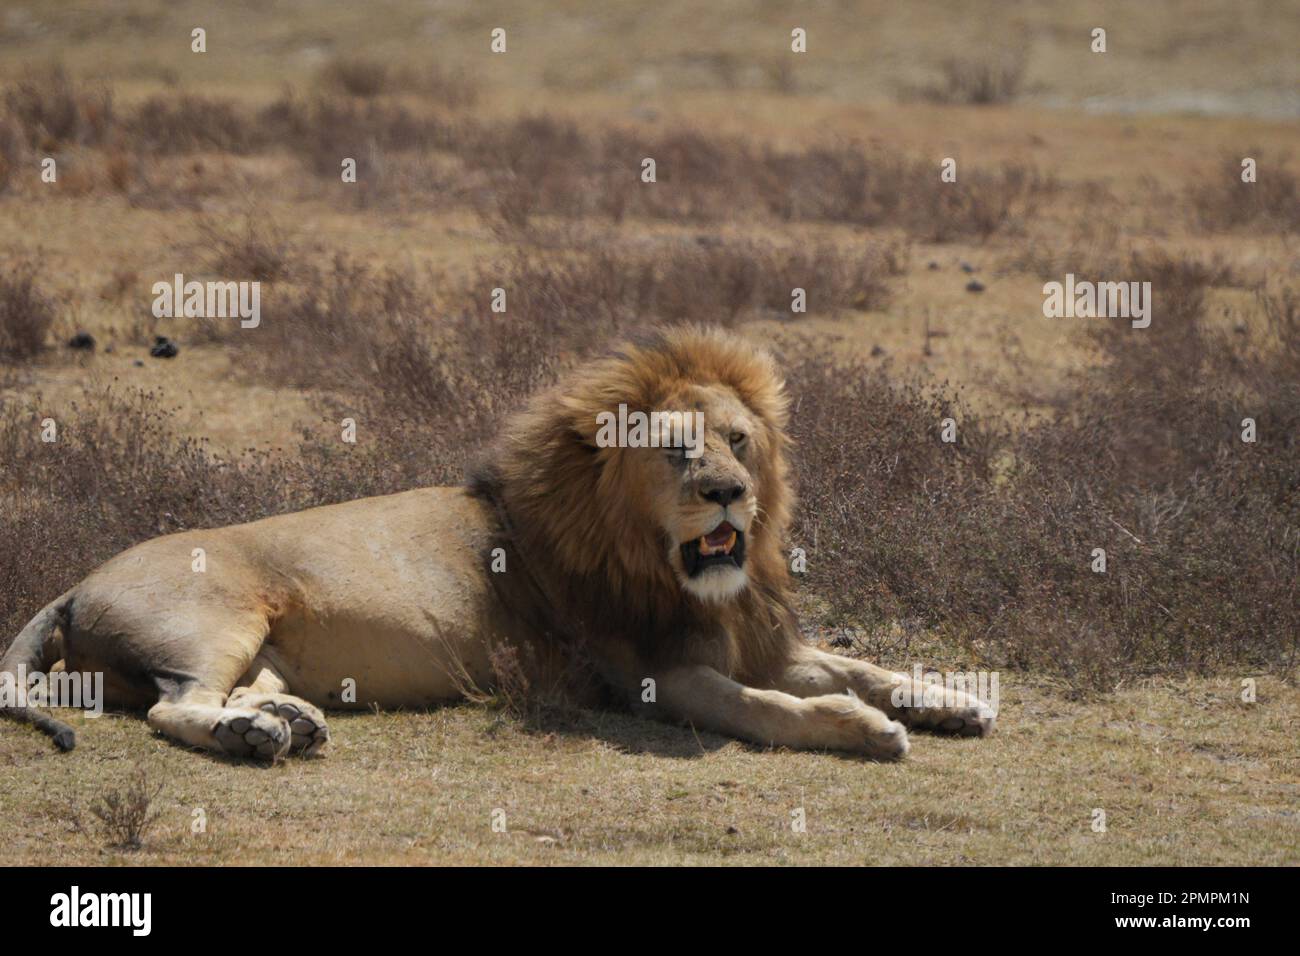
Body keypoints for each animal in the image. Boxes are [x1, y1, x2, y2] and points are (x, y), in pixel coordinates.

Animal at [1, 326, 994, 760]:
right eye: (677, 452)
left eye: (740, 441)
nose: (729, 494)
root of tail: (74, 583)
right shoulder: (653, 676)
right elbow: (773, 708)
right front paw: (867, 730)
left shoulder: (753, 637)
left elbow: (858, 666)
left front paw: (949, 699)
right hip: (216, 619)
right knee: (174, 708)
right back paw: (251, 737)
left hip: (264, 649)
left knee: (223, 696)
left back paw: (282, 721)